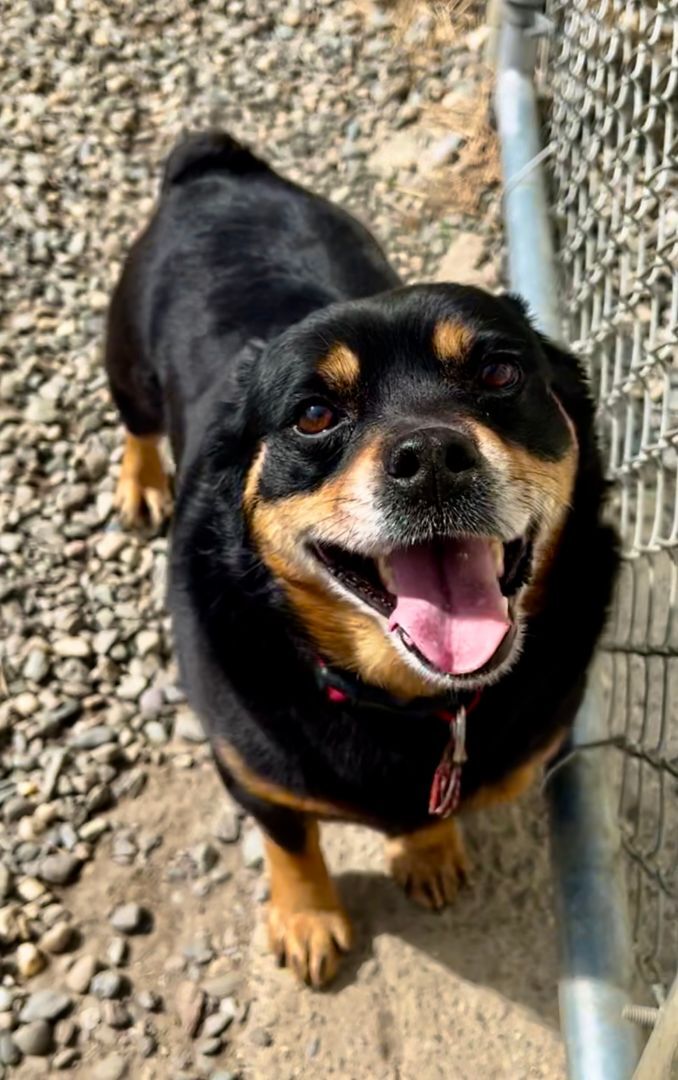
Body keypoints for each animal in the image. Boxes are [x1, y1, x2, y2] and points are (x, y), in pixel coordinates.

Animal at [105, 128, 621, 989]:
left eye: (500, 372)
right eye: (314, 414)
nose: (433, 457)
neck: (410, 700)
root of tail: (215, 165)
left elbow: (429, 813)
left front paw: (427, 852)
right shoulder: (249, 771)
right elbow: (290, 840)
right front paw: (308, 918)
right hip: (127, 362)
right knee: (138, 423)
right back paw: (141, 481)